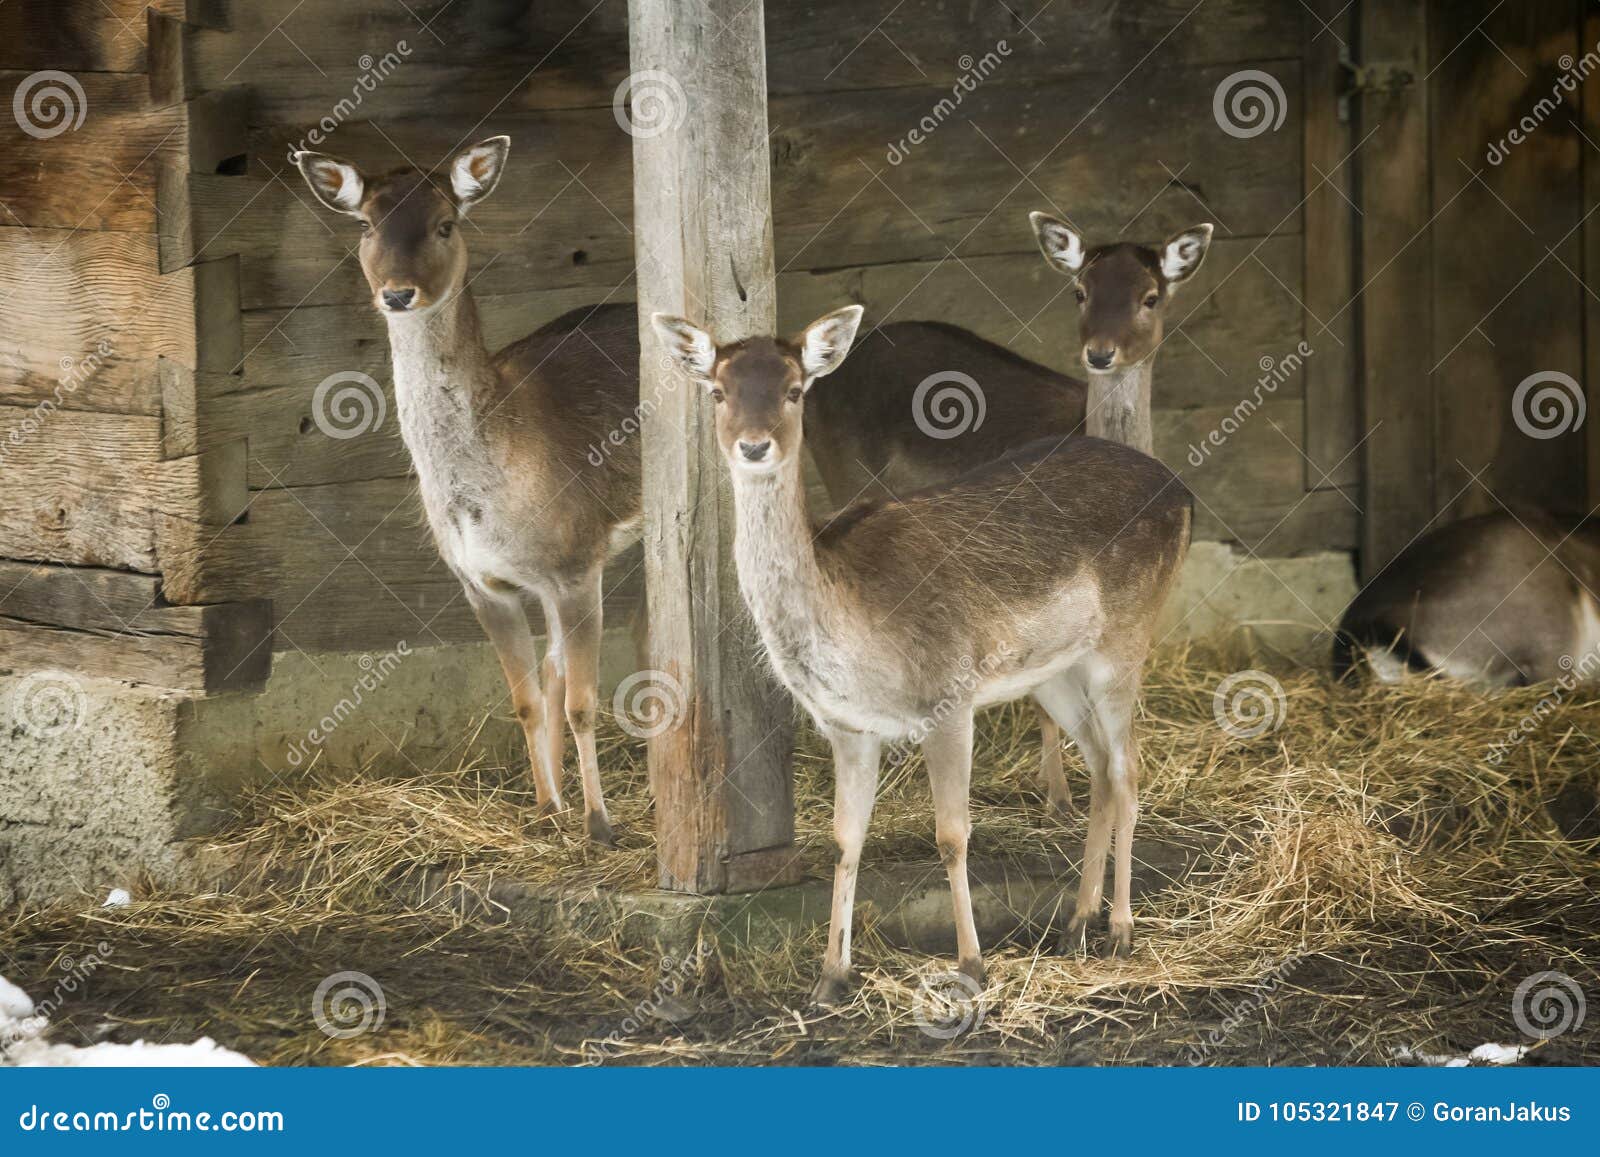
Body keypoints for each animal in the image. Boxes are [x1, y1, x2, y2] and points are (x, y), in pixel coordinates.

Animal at [294, 136, 641, 846]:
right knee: (553, 669)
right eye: (365, 224)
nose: (398, 293)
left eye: (446, 224)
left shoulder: (574, 562)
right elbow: (528, 697)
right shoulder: (481, 581)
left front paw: (599, 825)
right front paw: (546, 811)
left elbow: (584, 702)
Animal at [651, 304, 1192, 1003]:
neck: (852, 628)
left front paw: (971, 965)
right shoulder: (847, 726)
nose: (753, 445)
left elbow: (952, 835)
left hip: (1124, 640)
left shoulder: (949, 695)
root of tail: (1182, 490)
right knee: (1100, 766)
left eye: (795, 390)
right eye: (718, 391)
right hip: (1052, 671)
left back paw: (1121, 930)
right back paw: (1077, 923)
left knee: (1128, 769)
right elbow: (844, 840)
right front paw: (830, 978)